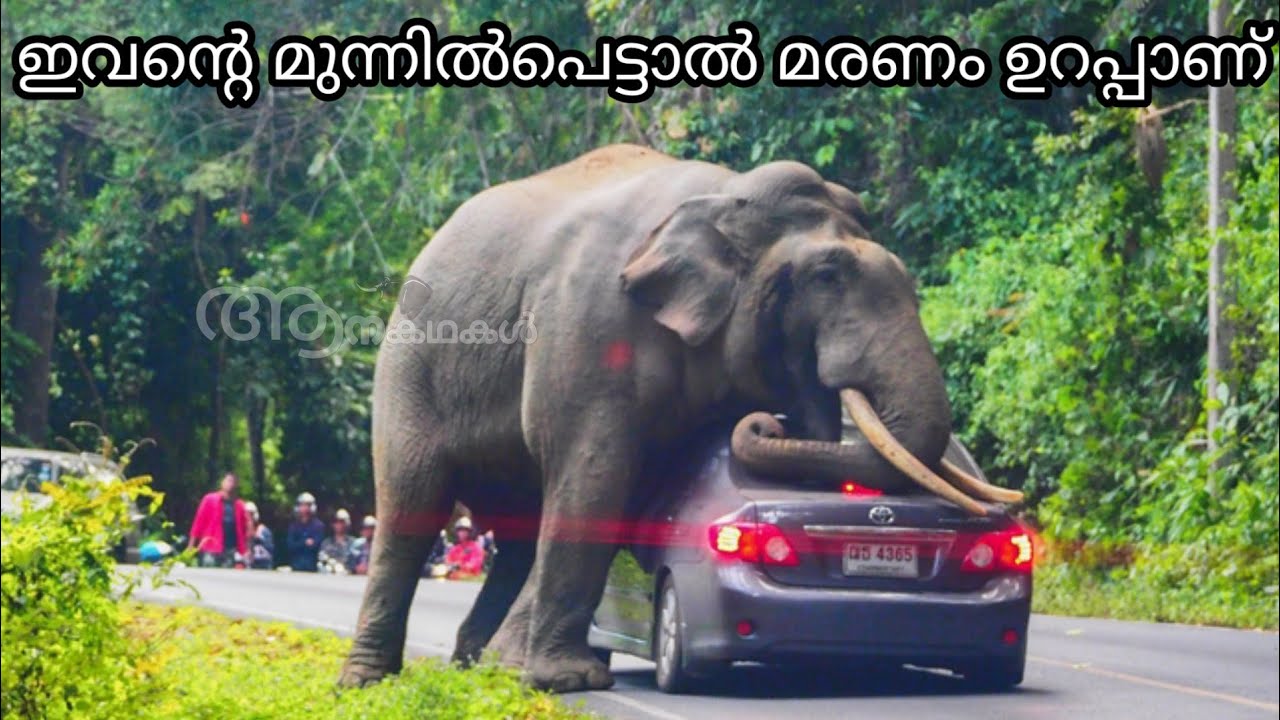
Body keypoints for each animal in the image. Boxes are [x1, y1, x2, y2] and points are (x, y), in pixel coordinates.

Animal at [338, 144, 1020, 693]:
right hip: (410, 365)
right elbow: (596, 474)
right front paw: (565, 682)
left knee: (515, 531)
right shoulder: (588, 323)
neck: (726, 196)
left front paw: (534, 673)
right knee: (414, 502)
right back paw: (369, 682)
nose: (768, 420)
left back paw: (477, 666)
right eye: (827, 275)